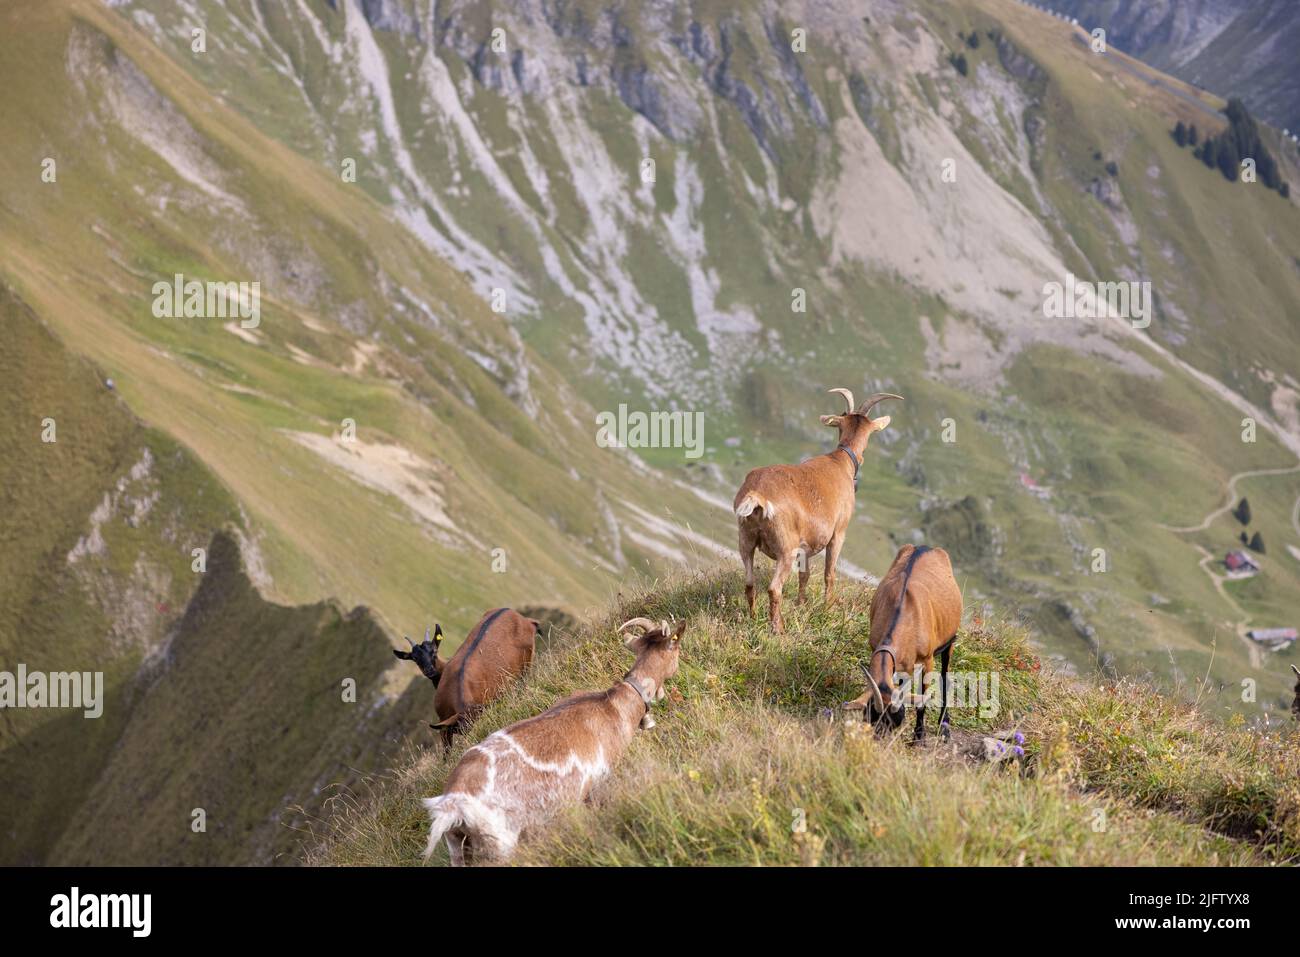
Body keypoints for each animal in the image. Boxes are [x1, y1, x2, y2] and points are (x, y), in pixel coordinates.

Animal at [393, 607, 539, 751]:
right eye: (415, 658)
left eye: (434, 651)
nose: (429, 670)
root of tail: (522, 618)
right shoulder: (444, 724)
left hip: (527, 665)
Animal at [421, 617, 684, 865]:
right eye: (676, 647)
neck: (614, 706)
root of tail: (452, 805)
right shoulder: (596, 785)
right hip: (499, 845)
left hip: (458, 845)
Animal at [734, 388, 902, 632]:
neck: (841, 461)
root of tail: (758, 495)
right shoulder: (838, 533)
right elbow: (829, 573)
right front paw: (828, 606)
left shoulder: (805, 546)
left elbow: (804, 576)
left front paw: (801, 604)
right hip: (785, 549)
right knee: (774, 588)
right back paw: (778, 628)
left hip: (745, 540)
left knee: (749, 583)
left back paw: (753, 618)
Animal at [843, 544, 962, 741]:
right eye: (870, 717)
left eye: (896, 721)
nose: (880, 741)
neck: (902, 609)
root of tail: (928, 547)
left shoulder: (927, 659)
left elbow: (922, 699)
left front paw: (919, 736)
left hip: (950, 641)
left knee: (945, 677)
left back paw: (944, 725)